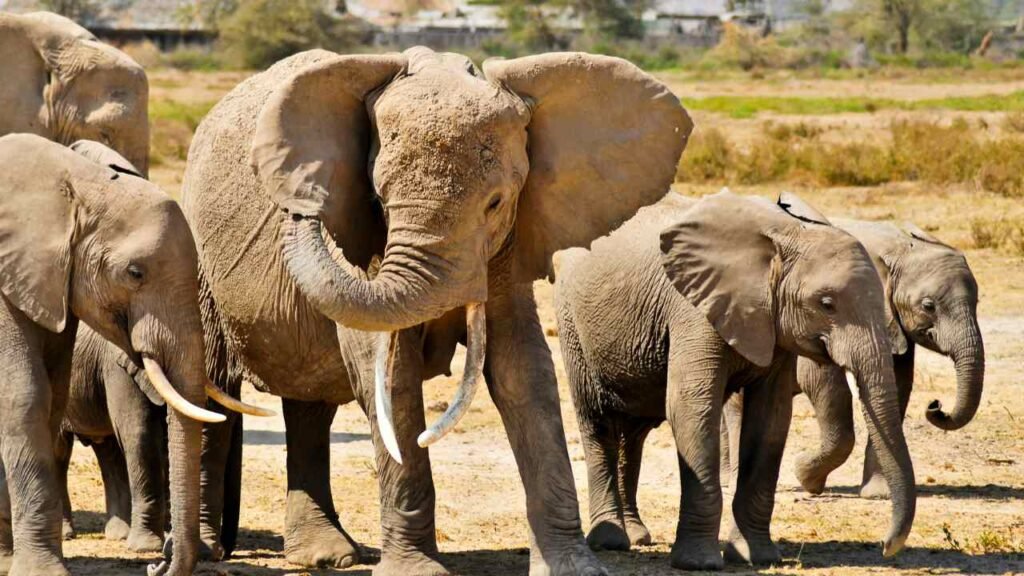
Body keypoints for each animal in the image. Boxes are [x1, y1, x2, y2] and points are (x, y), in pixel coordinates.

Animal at [0, 134, 255, 576]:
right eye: (135, 273)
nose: (158, 566)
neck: (77, 185)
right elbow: (26, 397)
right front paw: (42, 570)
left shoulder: (49, 282)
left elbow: (53, 397)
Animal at [181, 46, 691, 576]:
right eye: (378, 199)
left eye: (496, 202)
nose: (303, 201)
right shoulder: (366, 250)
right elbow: (389, 372)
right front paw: (416, 570)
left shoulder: (512, 241)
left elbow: (522, 368)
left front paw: (572, 569)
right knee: (214, 386)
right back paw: (211, 549)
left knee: (310, 407)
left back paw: (328, 556)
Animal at [553, 190, 915, 570]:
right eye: (827, 303)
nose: (885, 546)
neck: (786, 234)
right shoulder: (693, 311)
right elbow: (691, 408)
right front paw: (699, 563)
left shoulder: (772, 324)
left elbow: (770, 420)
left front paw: (757, 557)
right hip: (573, 327)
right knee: (599, 424)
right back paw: (610, 541)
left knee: (634, 432)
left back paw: (637, 536)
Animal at [784, 219, 983, 498]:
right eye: (928, 306)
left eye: (977, 302)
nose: (936, 405)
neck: (897, 247)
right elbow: (821, 380)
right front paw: (806, 477)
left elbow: (898, 386)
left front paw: (879, 494)